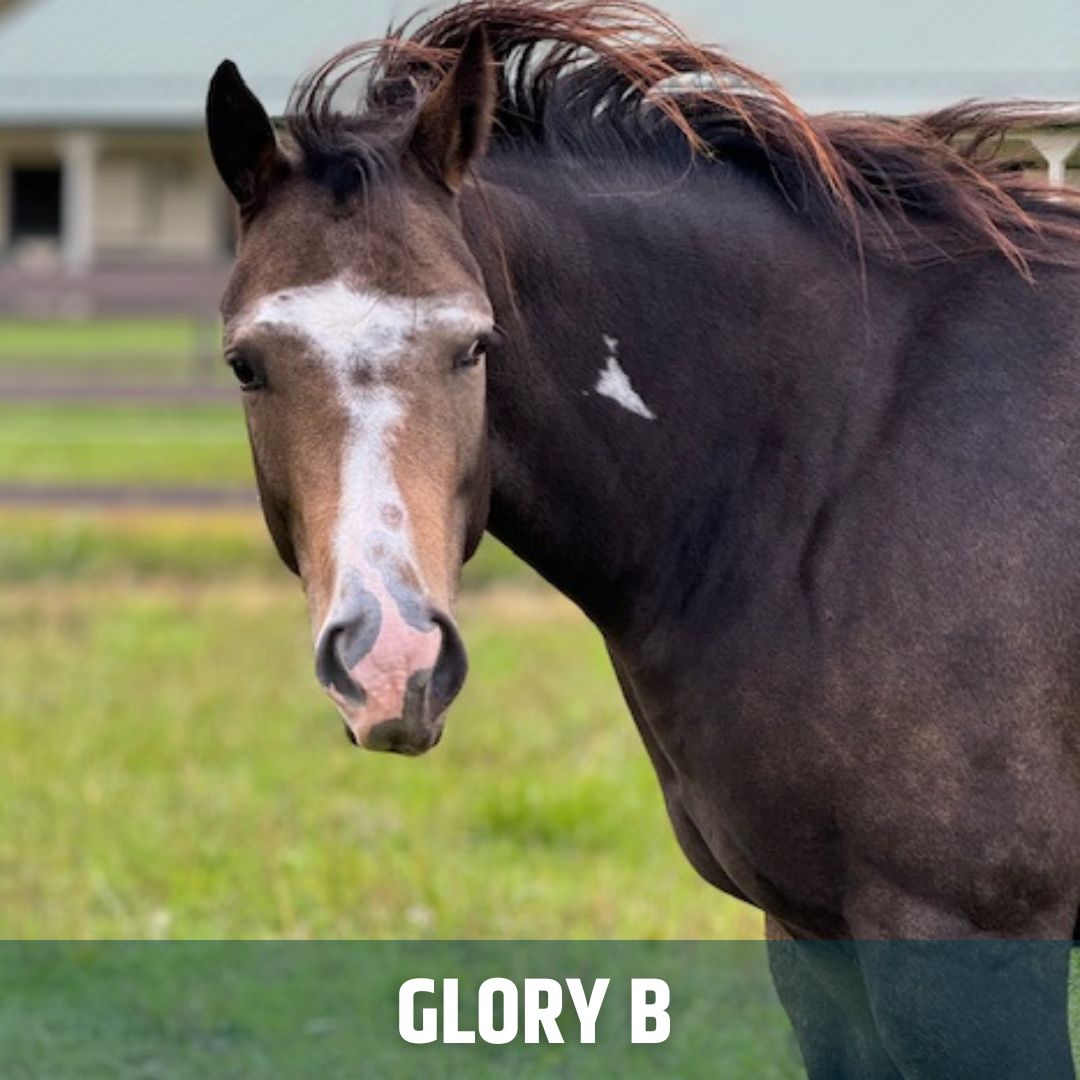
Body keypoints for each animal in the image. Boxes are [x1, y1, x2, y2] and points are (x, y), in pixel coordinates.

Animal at [205, 2, 1080, 1074]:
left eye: (475, 346)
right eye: (247, 364)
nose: (391, 662)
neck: (835, 453)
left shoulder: (968, 946)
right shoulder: (816, 944)